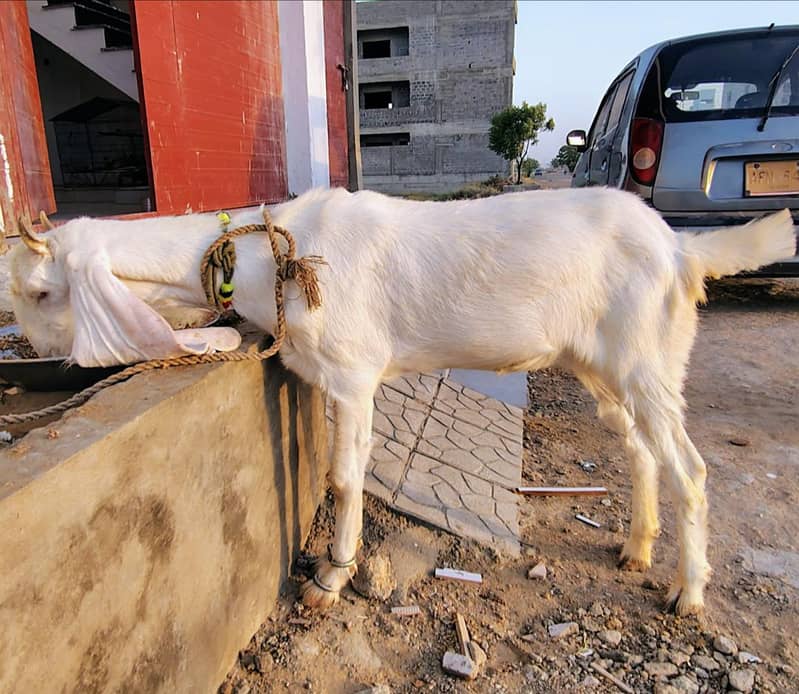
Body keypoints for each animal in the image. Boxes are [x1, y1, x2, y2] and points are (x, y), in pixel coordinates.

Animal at [9, 186, 796, 615]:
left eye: (42, 293)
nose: (39, 357)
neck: (268, 256)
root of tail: (681, 249)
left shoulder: (353, 373)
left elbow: (342, 475)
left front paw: (330, 578)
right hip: (601, 364)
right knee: (638, 451)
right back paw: (636, 549)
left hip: (647, 357)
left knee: (689, 467)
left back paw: (687, 593)